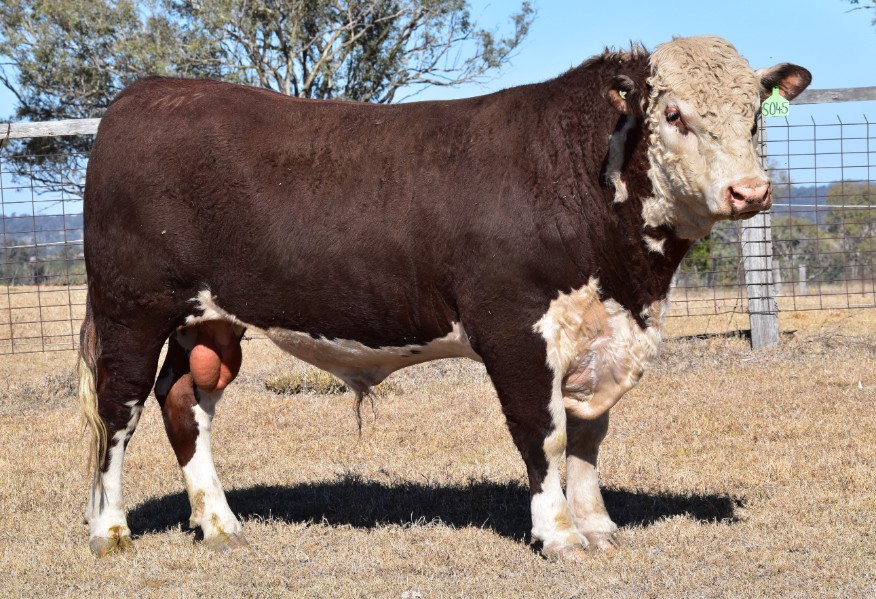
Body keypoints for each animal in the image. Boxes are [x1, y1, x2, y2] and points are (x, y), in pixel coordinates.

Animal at [78, 35, 810, 560]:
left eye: (754, 116)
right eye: (674, 114)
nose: (750, 191)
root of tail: (146, 94)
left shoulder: (601, 336)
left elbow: (588, 437)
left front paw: (598, 524)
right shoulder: (515, 328)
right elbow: (543, 434)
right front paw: (560, 535)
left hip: (209, 320)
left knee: (185, 401)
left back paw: (218, 520)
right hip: (132, 308)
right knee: (120, 408)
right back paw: (109, 528)